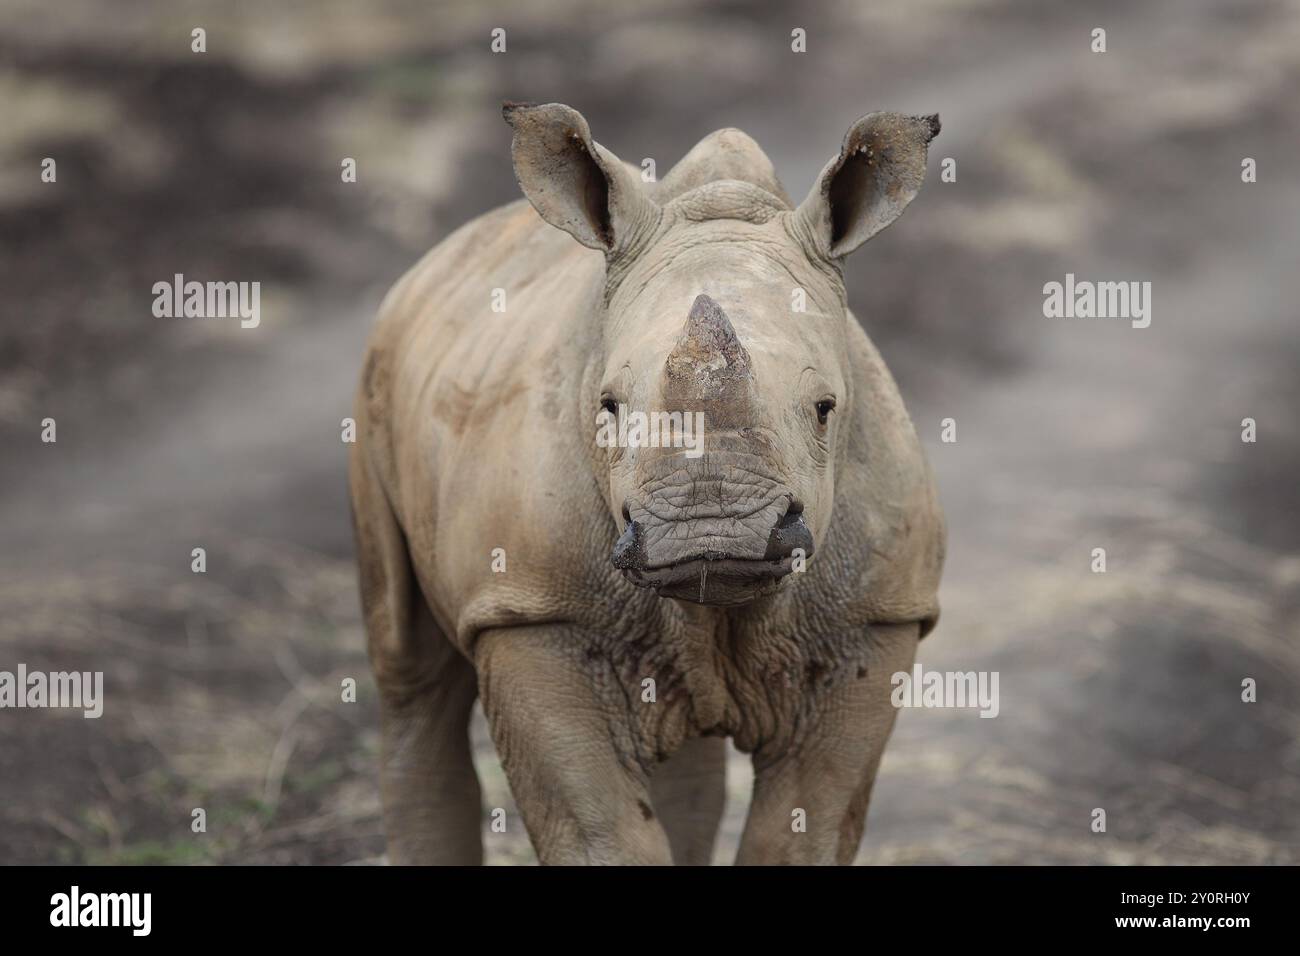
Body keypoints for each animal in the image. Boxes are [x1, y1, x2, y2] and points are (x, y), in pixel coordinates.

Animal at [349, 102, 945, 865]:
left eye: (824, 408)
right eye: (608, 406)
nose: (710, 533)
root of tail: (440, 255)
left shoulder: (874, 616)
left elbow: (804, 833)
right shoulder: (533, 610)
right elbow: (602, 832)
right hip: (381, 370)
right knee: (410, 667)